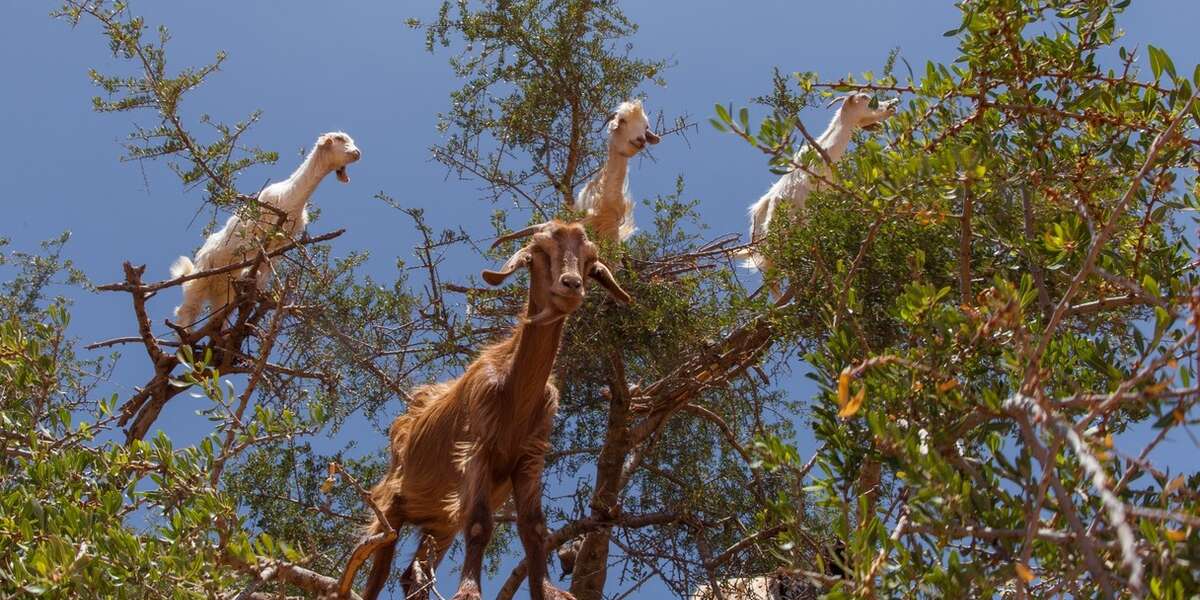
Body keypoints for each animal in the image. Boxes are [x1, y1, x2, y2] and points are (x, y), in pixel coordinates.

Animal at [170, 132, 361, 331]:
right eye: (340, 139)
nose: (357, 153)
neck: (290, 198)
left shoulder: (280, 245)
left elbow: (266, 268)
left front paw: (258, 287)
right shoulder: (257, 232)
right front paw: (249, 276)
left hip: (222, 294)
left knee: (216, 319)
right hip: (202, 276)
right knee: (187, 309)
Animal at [354, 221, 631, 600]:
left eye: (590, 262)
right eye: (538, 252)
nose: (571, 285)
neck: (513, 393)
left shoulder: (530, 457)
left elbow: (534, 528)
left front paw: (546, 588)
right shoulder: (477, 449)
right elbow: (479, 525)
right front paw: (469, 591)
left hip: (439, 519)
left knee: (414, 573)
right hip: (392, 502)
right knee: (377, 570)